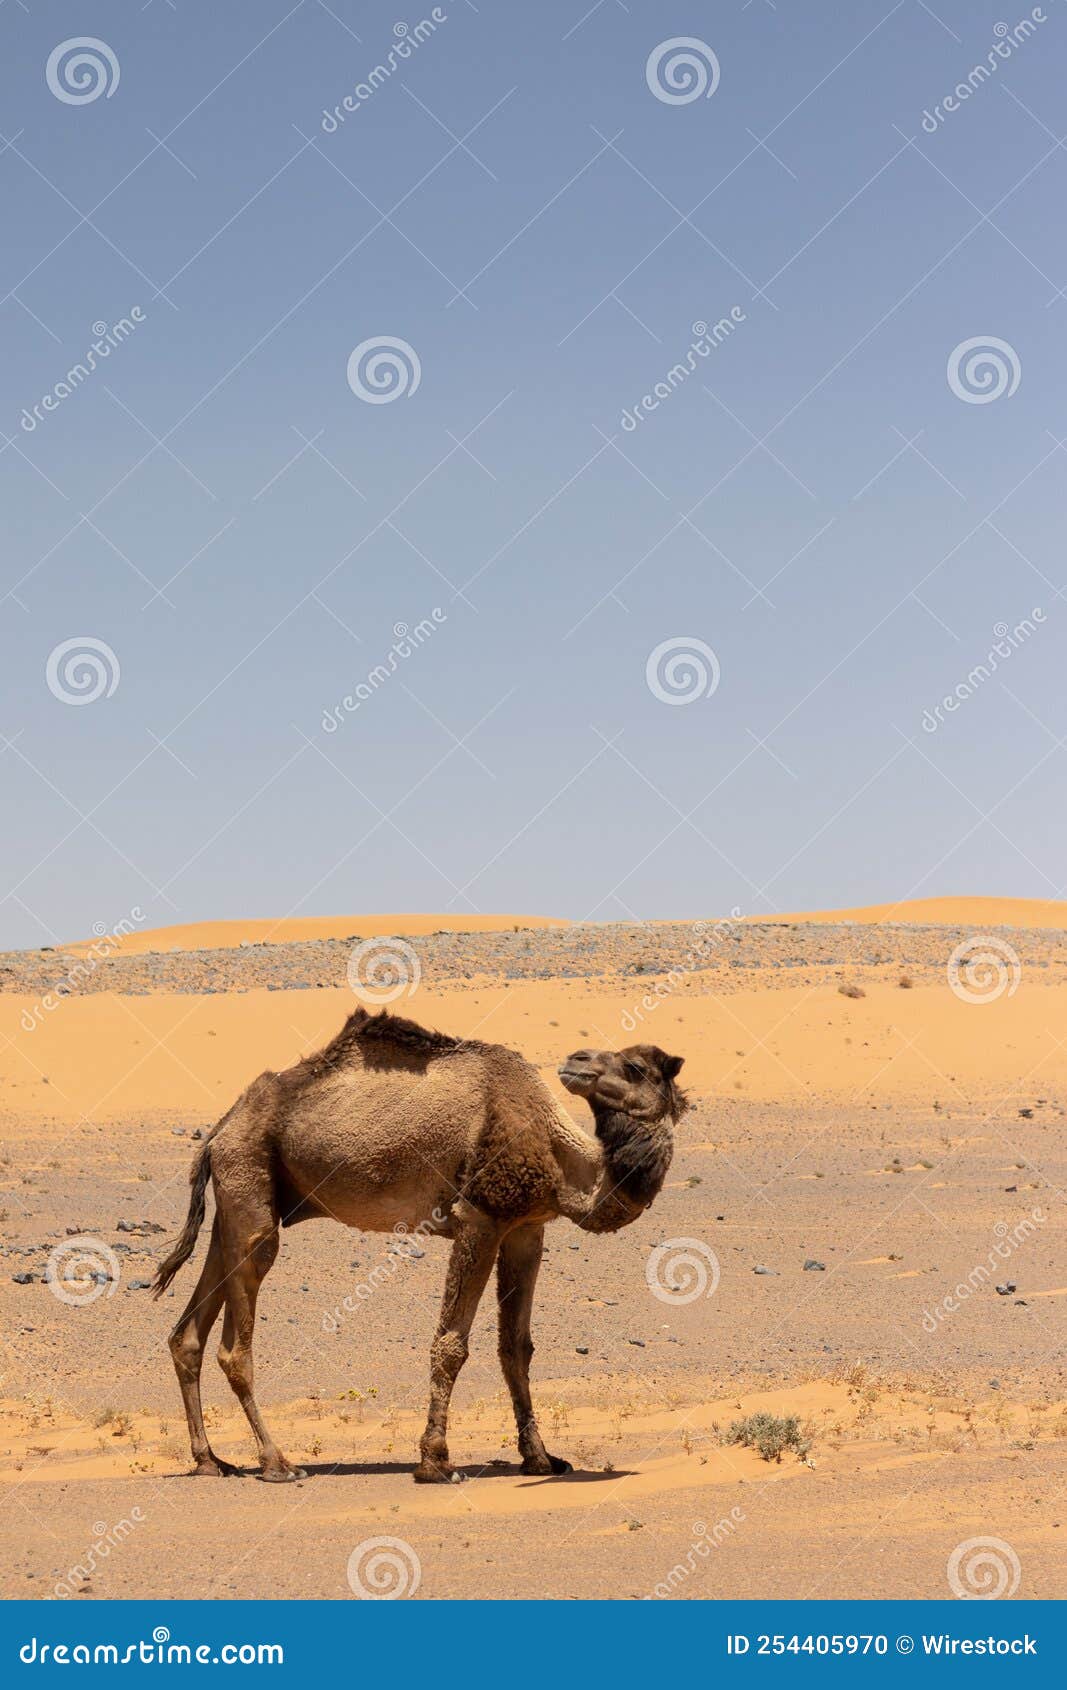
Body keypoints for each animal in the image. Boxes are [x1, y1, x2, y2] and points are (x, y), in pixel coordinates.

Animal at [153, 1006, 686, 1484]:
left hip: (238, 1203)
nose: (576, 1060)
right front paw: (436, 1463)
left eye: (636, 1068)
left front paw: (541, 1458)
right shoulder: (479, 1218)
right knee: (235, 1342)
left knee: (187, 1335)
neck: (562, 1161)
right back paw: (276, 1463)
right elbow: (450, 1345)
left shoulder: (526, 1230)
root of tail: (220, 1129)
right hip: (250, 1185)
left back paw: (210, 1461)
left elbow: (516, 1346)